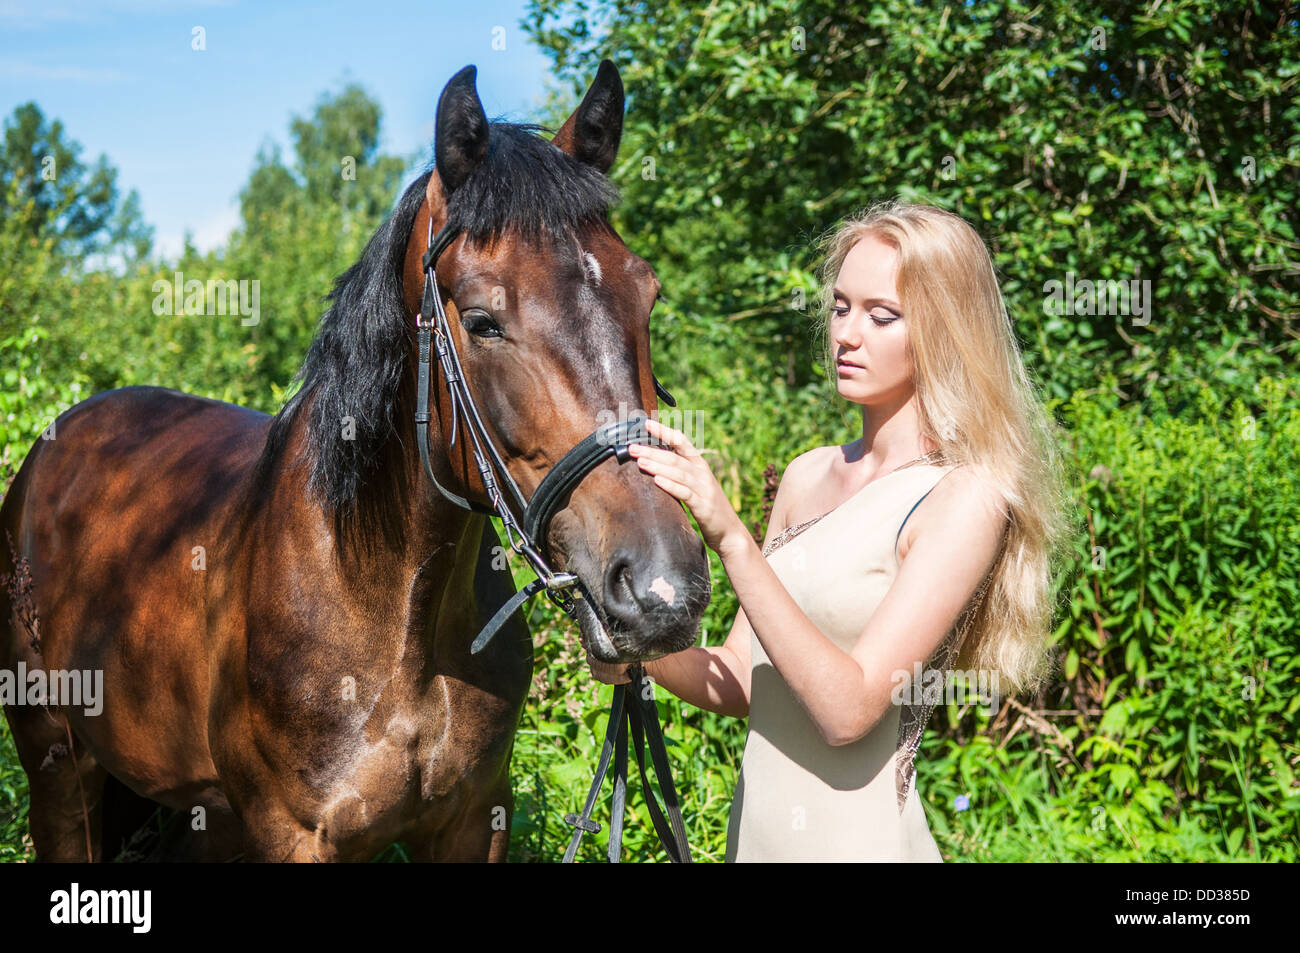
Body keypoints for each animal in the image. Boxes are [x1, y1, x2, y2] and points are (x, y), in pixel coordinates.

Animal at [0, 60, 710, 862]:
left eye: (647, 295)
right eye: (482, 321)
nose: (661, 586)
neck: (394, 618)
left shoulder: (476, 818)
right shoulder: (296, 837)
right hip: (60, 770)